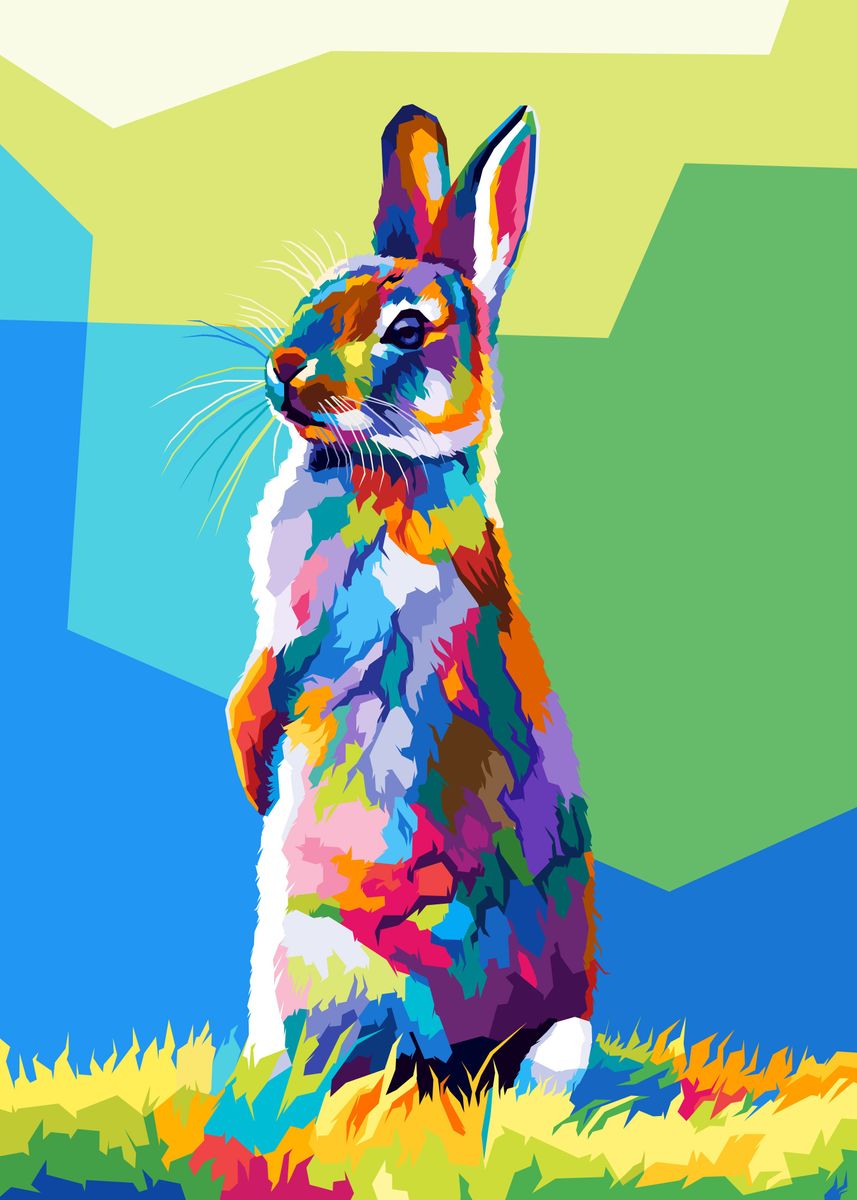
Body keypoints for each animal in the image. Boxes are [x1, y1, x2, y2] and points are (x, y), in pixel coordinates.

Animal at [226, 105, 596, 1111]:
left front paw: (253, 770)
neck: (382, 467)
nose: (283, 365)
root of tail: (478, 1058)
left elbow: (283, 680)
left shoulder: (339, 622)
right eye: (318, 294)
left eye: (405, 327)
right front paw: (251, 772)